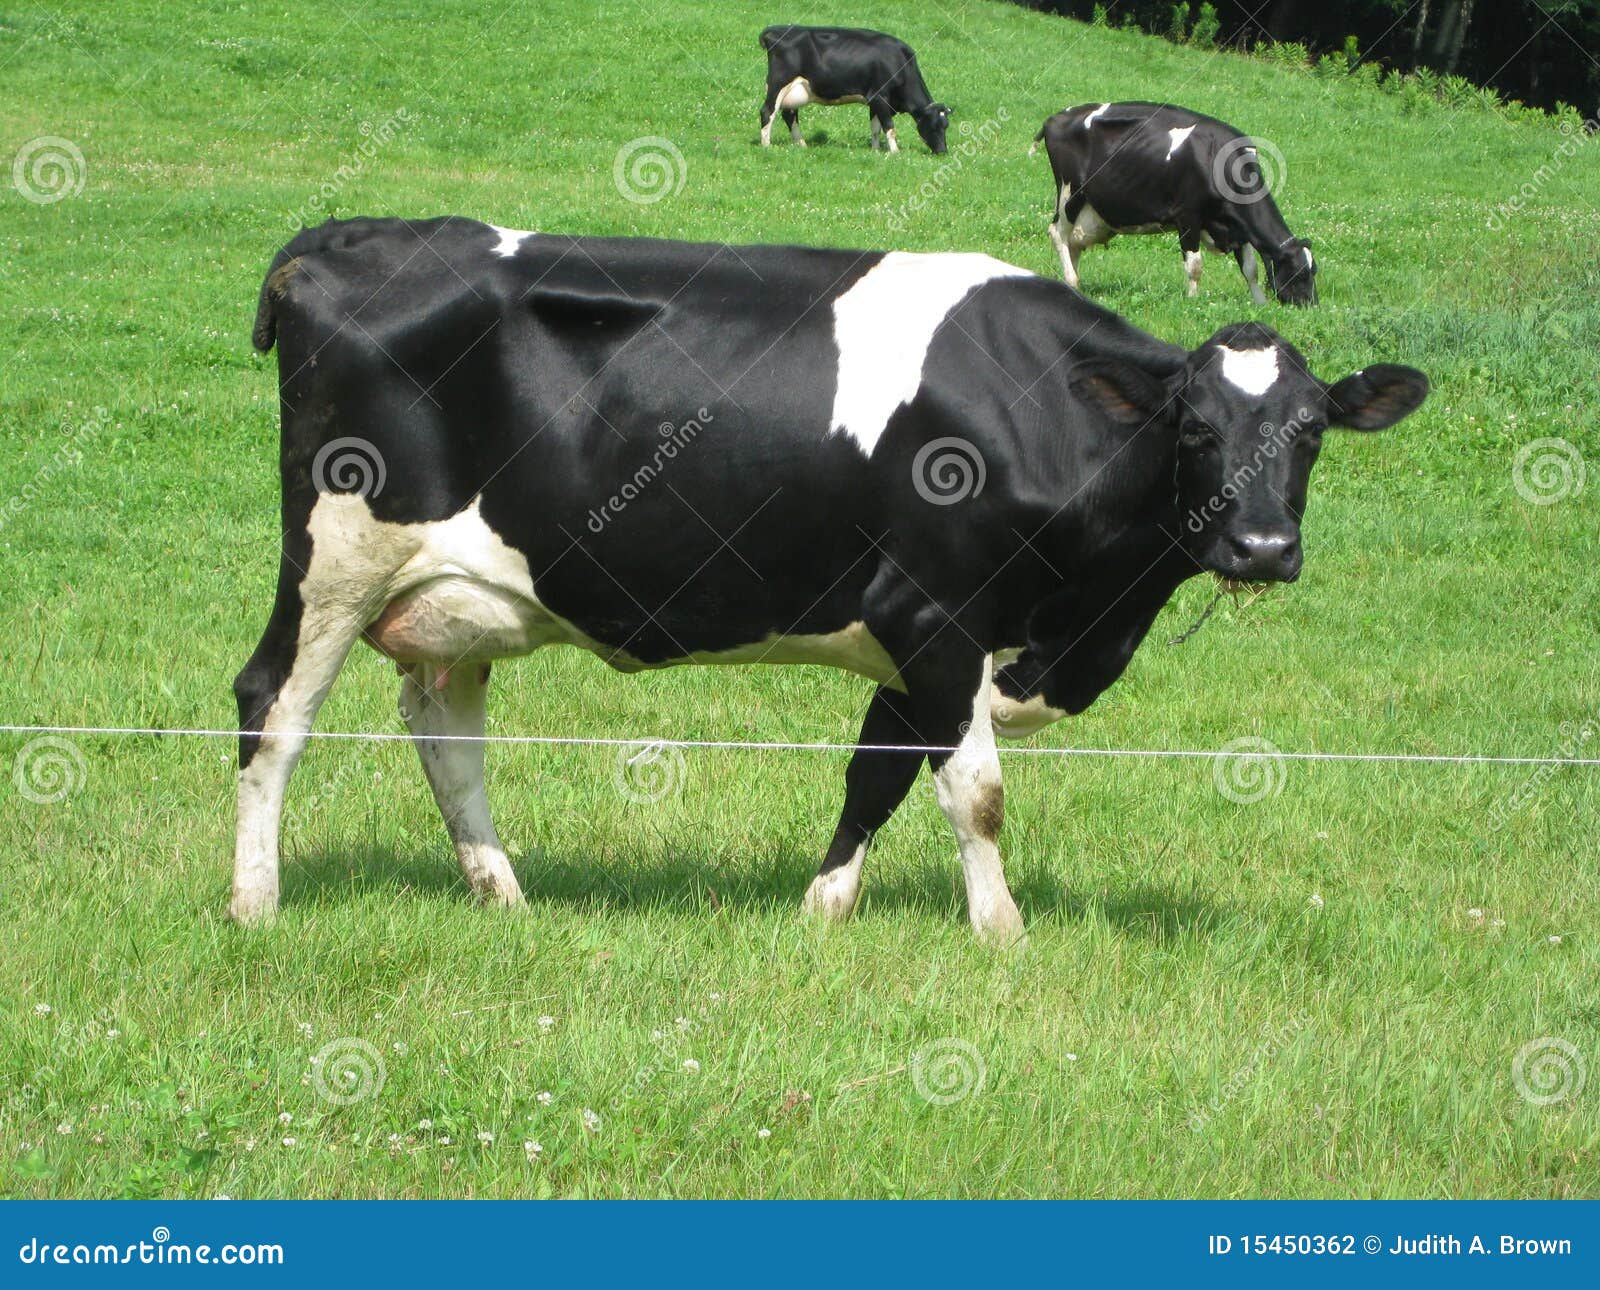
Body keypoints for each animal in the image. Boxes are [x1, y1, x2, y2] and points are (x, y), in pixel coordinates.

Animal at [232, 216, 1427, 941]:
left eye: (1311, 430)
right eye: (1194, 427)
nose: (1263, 549)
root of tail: (336, 240)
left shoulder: (912, 638)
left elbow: (876, 776)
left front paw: (825, 907)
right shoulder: (936, 616)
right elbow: (976, 792)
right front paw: (1002, 933)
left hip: (454, 599)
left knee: (444, 731)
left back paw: (503, 891)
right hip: (338, 556)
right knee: (272, 706)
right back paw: (256, 904)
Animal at [758, 25, 950, 154]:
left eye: (946, 126)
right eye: (934, 125)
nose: (943, 151)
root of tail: (774, 30)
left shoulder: (874, 100)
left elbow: (875, 128)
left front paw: (875, 150)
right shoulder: (880, 97)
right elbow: (889, 127)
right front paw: (895, 153)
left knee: (789, 115)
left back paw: (802, 145)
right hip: (779, 83)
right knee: (768, 112)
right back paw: (767, 146)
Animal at [1031, 101, 1318, 306]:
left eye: (1314, 270)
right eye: (1299, 274)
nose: (1311, 306)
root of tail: (1055, 118)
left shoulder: (1238, 226)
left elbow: (1250, 269)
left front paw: (1260, 305)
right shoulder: (1187, 215)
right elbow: (1195, 265)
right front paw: (1192, 301)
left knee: (1074, 243)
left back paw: (1071, 287)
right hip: (1070, 193)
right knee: (1058, 234)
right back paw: (1072, 281)